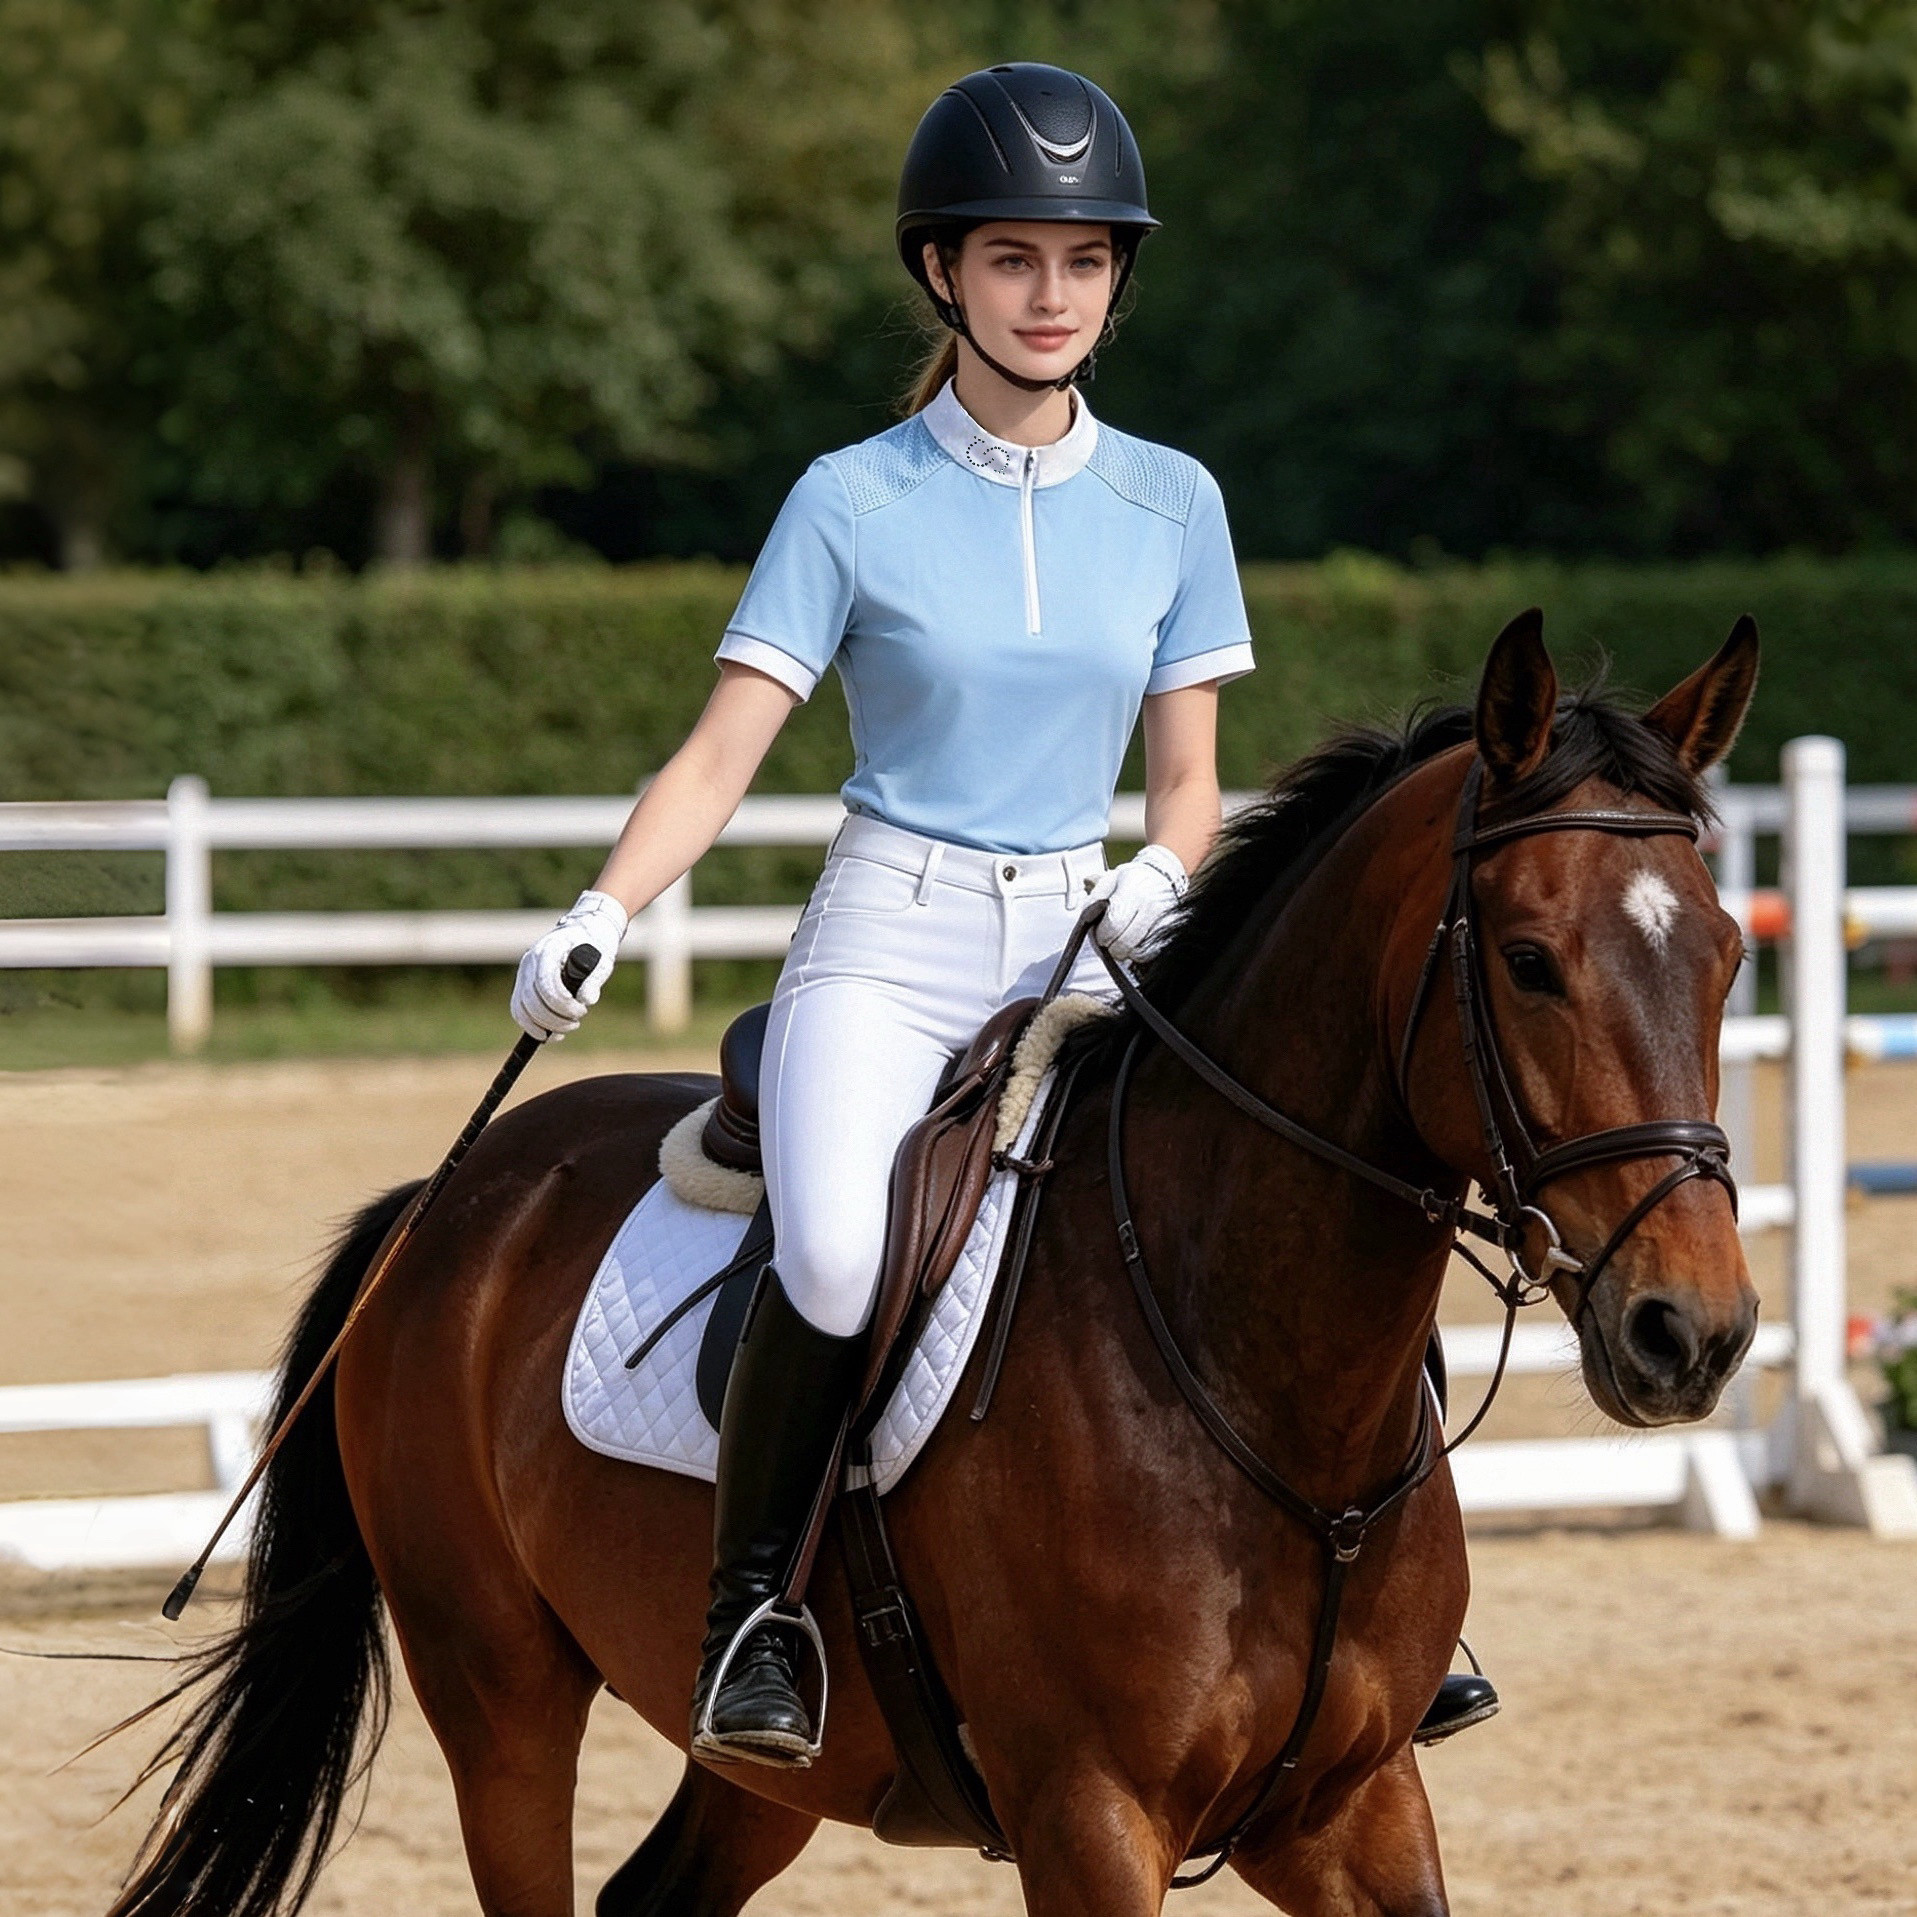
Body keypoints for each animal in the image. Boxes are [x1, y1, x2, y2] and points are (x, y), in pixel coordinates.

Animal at [112, 610, 1760, 1917]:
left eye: (1732, 954)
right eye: (1530, 962)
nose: (1695, 1334)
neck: (1262, 1384)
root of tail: (449, 1201)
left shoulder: (1349, 1806)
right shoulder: (1091, 1820)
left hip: (763, 1774)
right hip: (498, 1696)